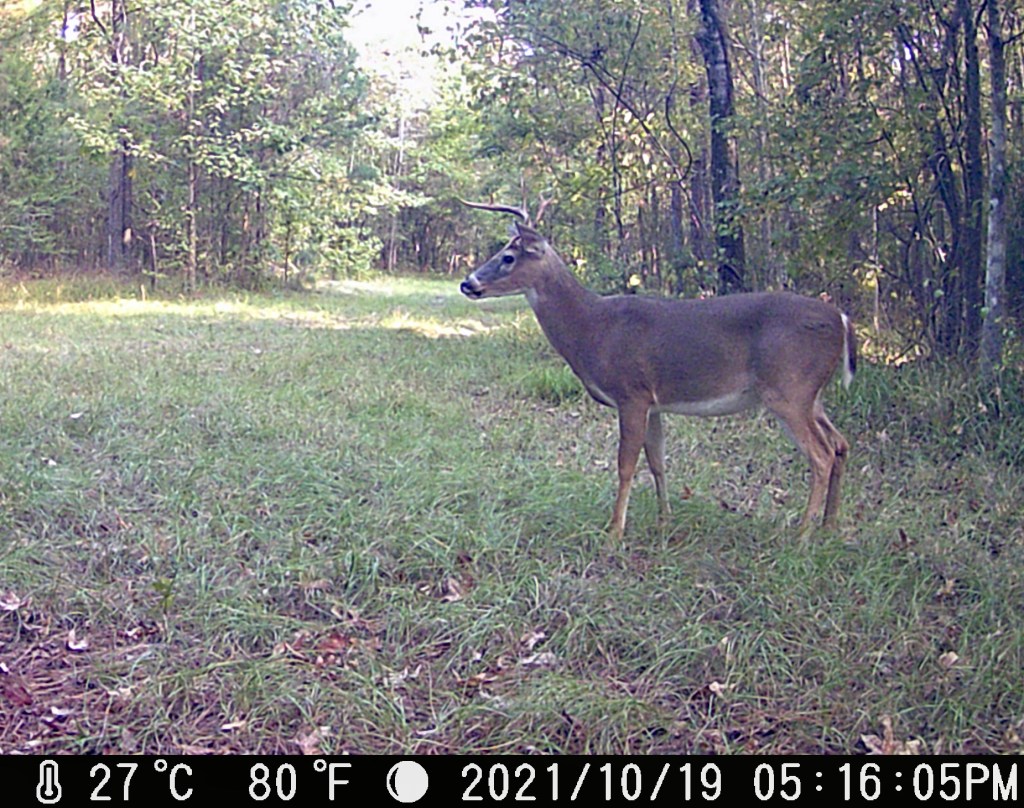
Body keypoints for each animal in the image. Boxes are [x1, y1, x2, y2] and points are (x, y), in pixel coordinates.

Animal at [459, 201, 856, 540]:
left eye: (508, 256)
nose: (468, 283)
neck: (592, 329)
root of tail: (841, 318)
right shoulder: (653, 401)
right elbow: (658, 462)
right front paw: (664, 520)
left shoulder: (631, 392)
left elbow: (625, 464)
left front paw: (614, 533)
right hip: (811, 395)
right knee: (840, 443)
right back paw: (830, 527)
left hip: (788, 389)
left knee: (821, 455)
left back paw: (802, 536)